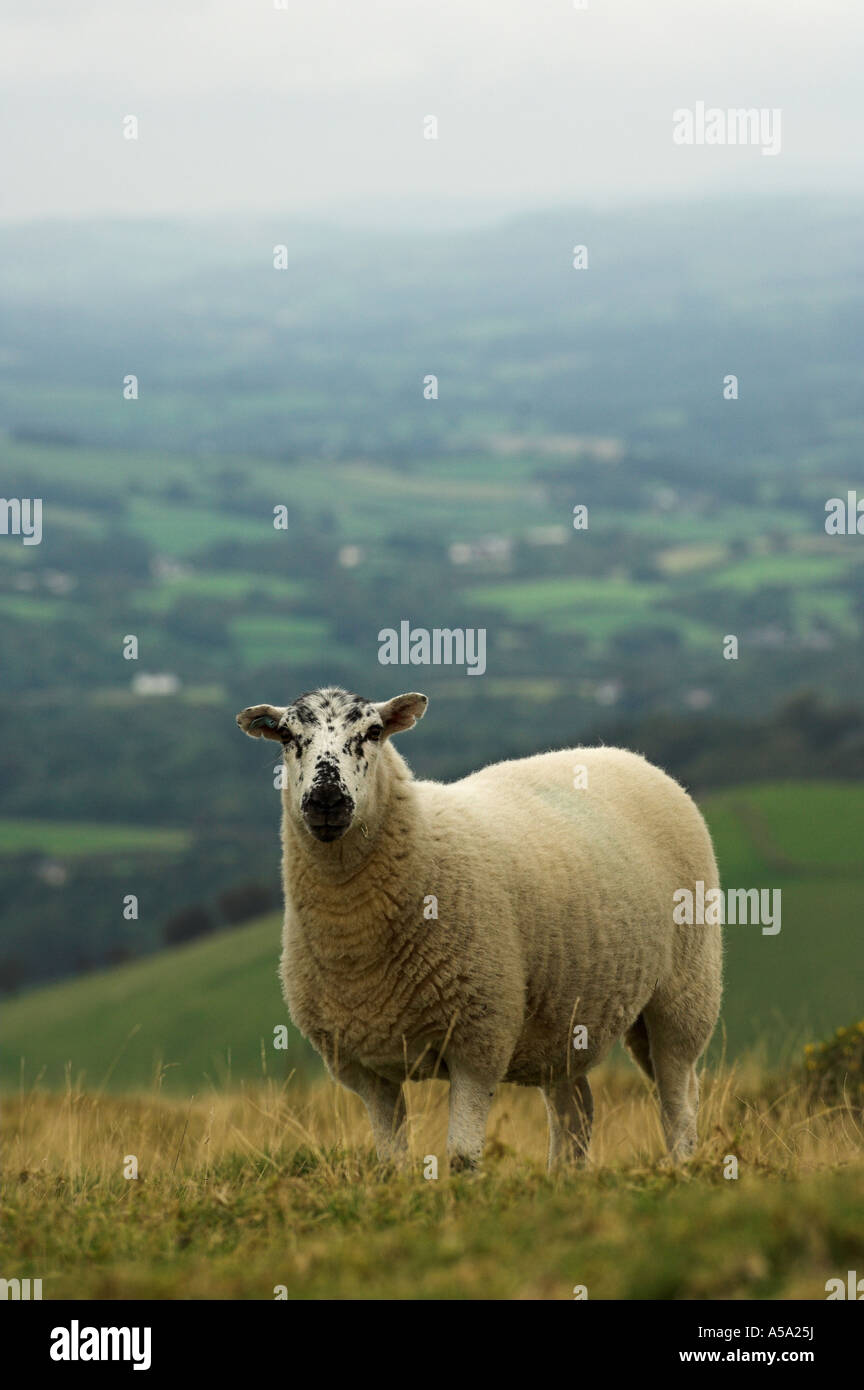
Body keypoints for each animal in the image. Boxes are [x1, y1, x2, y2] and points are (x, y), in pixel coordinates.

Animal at [237, 685, 722, 1171]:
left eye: (373, 732)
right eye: (287, 736)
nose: (327, 801)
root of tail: (627, 756)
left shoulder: (479, 1041)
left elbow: (461, 1157)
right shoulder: (367, 1068)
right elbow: (391, 1163)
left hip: (683, 993)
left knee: (679, 1101)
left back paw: (681, 1166)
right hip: (565, 1017)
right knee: (576, 1111)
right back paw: (561, 1177)